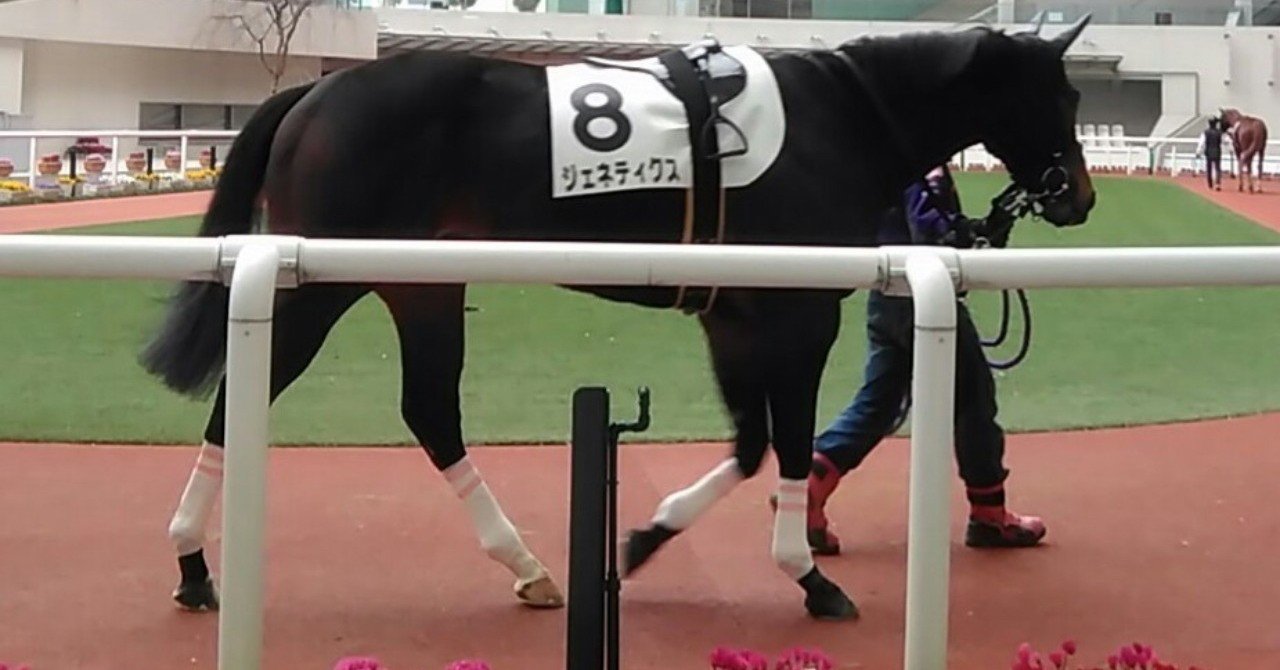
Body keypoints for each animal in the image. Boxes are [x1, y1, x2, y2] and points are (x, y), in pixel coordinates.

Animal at [139, 17, 1096, 621]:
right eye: (1060, 100)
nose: (1079, 196)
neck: (843, 116)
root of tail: (310, 97)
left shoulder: (734, 316)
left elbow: (751, 444)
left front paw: (642, 539)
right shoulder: (797, 313)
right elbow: (787, 444)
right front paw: (807, 576)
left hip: (424, 283)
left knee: (430, 410)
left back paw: (528, 567)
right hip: (320, 281)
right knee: (244, 396)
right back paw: (188, 559)